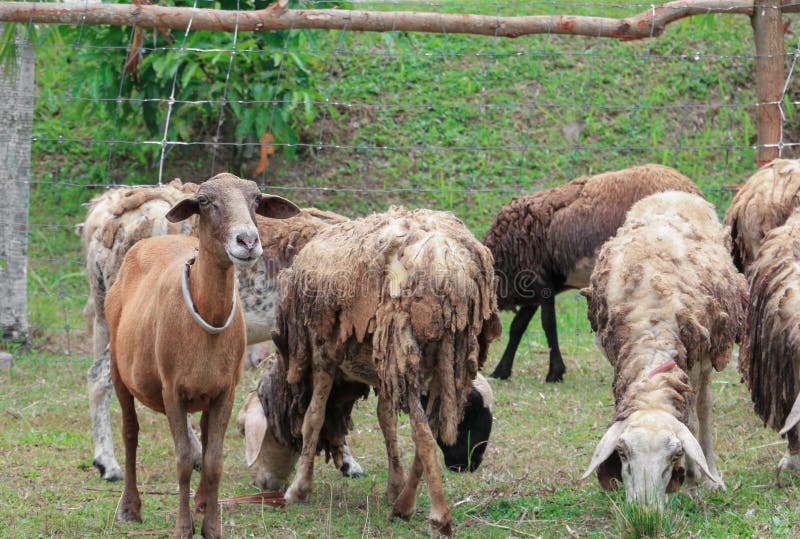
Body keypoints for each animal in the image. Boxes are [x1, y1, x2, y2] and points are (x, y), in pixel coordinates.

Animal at [104, 173, 299, 537]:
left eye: (256, 200)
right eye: (205, 201)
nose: (247, 240)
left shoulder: (225, 391)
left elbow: (214, 461)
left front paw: (210, 525)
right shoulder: (171, 390)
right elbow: (182, 460)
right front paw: (184, 527)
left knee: (206, 441)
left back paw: (201, 501)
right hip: (118, 367)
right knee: (130, 432)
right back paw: (130, 506)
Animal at [243, 207, 500, 536]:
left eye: (242, 429)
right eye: (475, 412)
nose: (471, 463)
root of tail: (450, 262)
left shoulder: (323, 353)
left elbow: (313, 418)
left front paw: (299, 489)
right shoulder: (382, 371)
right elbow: (386, 419)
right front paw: (395, 486)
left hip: (403, 343)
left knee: (423, 434)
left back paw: (438, 517)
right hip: (436, 353)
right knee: (429, 429)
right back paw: (404, 505)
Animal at [483, 164, 701, 382]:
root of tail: (692, 191)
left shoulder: (540, 283)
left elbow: (548, 324)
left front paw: (555, 372)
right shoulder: (534, 287)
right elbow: (518, 326)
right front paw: (501, 371)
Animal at [581, 191, 747, 506]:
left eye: (674, 456)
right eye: (622, 453)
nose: (643, 510)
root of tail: (673, 192)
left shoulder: (691, 363)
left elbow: (691, 422)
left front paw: (694, 481)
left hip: (707, 358)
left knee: (704, 409)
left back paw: (712, 476)